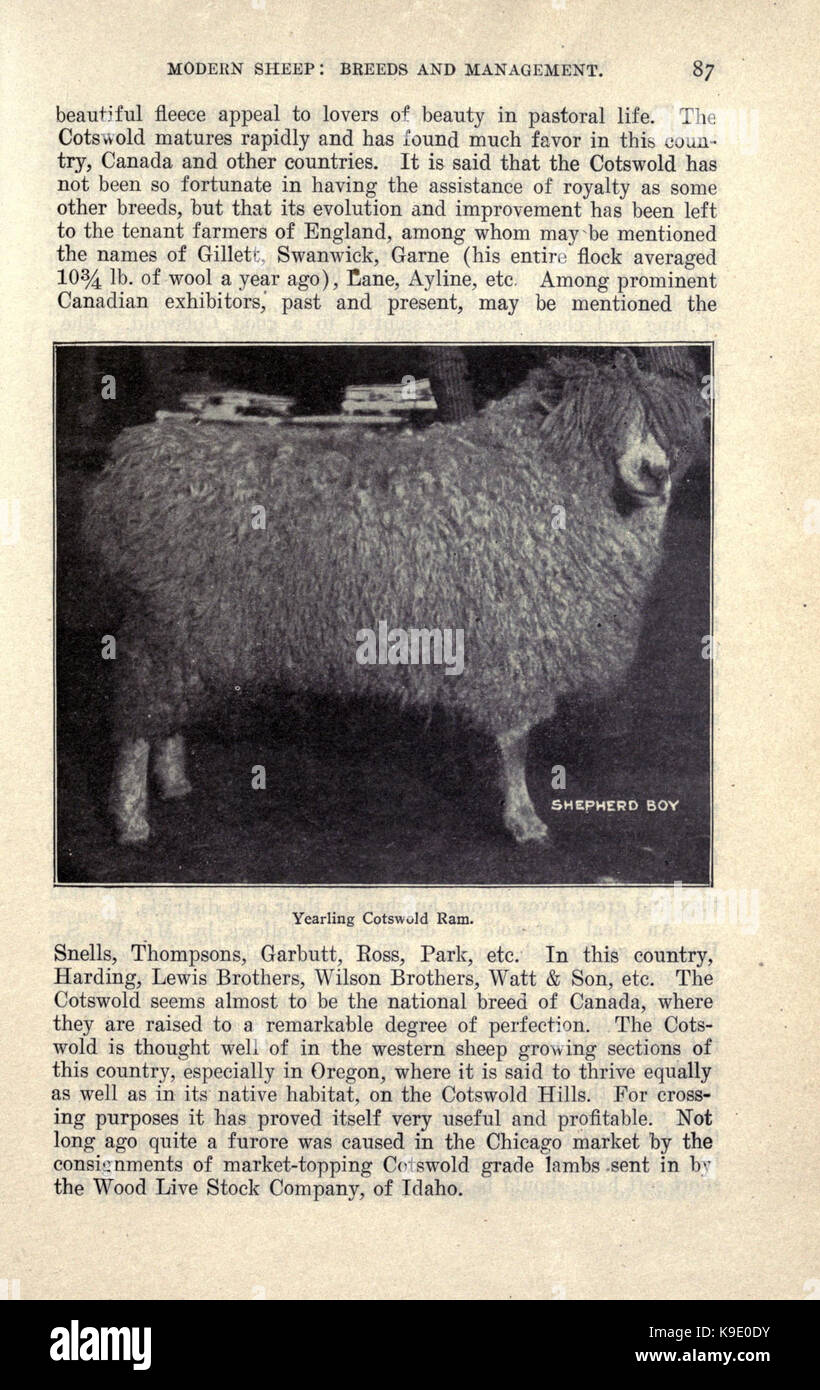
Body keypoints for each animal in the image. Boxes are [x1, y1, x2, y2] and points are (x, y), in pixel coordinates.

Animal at [83, 349, 704, 848]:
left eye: (662, 425)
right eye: (602, 424)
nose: (654, 472)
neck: (538, 480)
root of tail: (134, 457)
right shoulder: (512, 642)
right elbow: (515, 743)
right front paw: (524, 820)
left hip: (185, 628)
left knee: (163, 715)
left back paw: (173, 782)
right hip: (164, 624)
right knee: (136, 724)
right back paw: (132, 819)